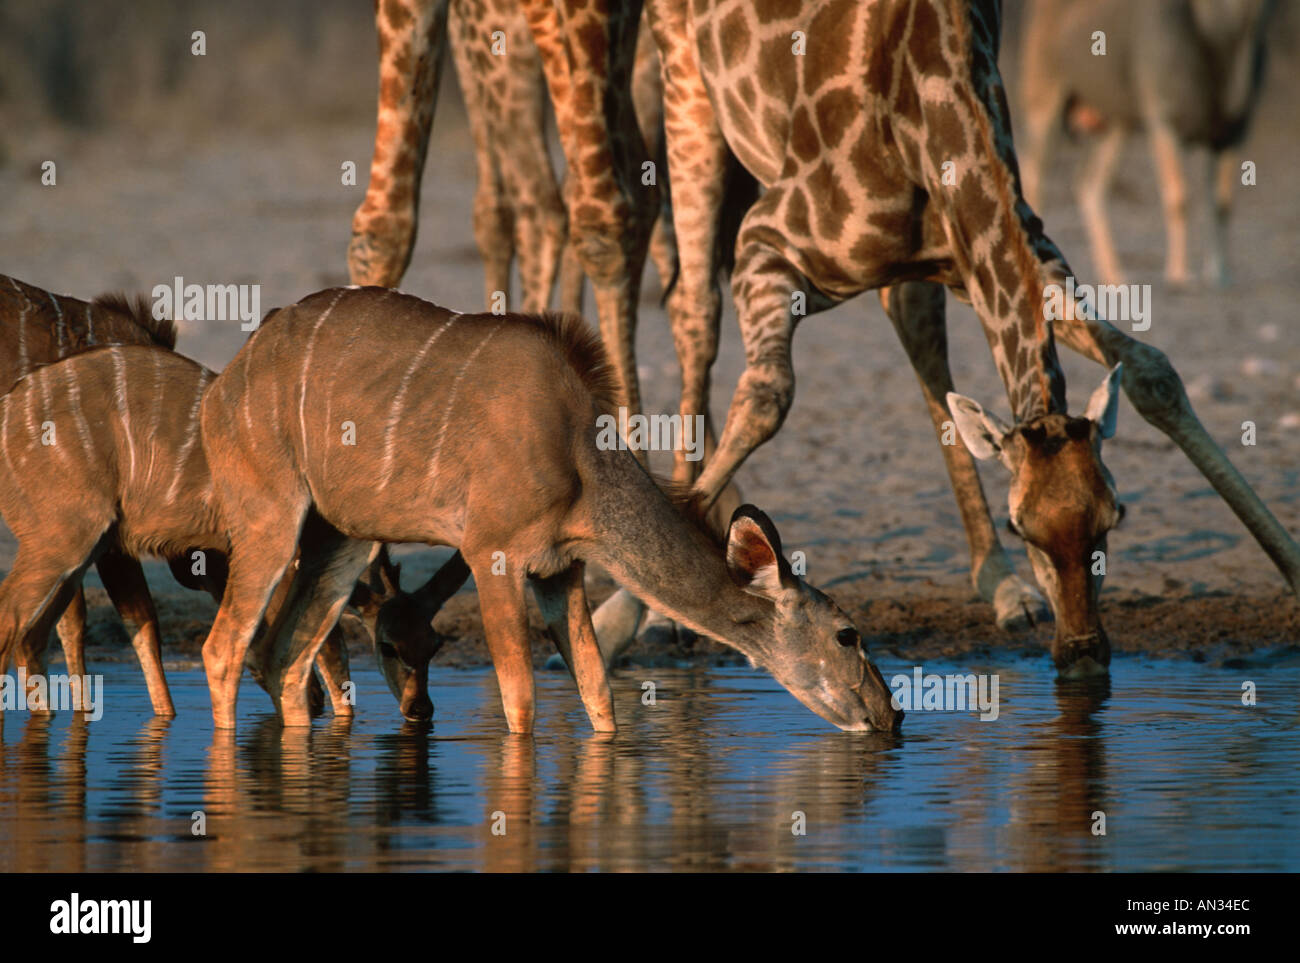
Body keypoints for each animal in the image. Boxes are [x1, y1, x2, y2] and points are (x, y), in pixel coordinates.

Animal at [1017, 0, 1275, 286]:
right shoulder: (1163, 123)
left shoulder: (1232, 135)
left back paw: (1114, 276)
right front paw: (1179, 273)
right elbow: (1178, 199)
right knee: (1035, 176)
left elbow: (1222, 205)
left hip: (1116, 127)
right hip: (1045, 104)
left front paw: (1219, 274)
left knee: (1090, 185)